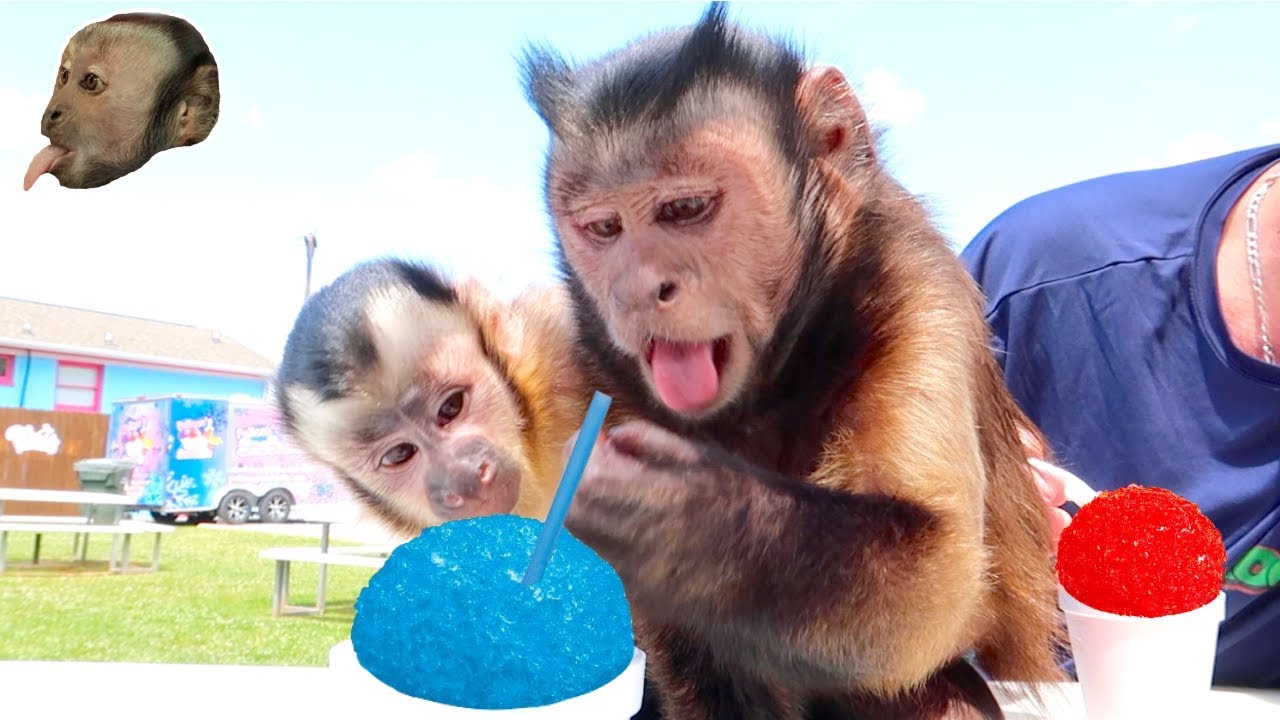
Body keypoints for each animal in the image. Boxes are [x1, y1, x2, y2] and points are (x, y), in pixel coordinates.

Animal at [520, 4, 1064, 718]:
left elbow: (936, 578)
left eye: (684, 210)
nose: (637, 289)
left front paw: (684, 514)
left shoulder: (914, 284)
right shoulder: (582, 364)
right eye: (605, 229)